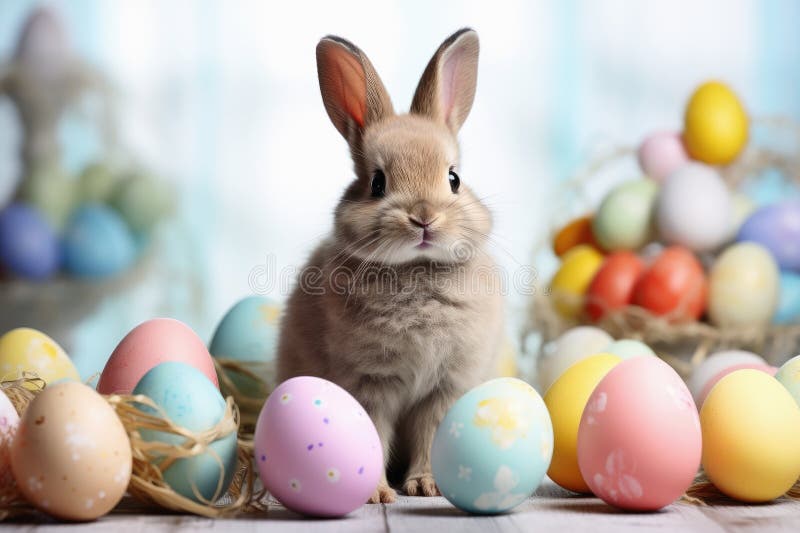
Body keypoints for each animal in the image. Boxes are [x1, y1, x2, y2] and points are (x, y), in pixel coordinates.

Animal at [277, 28, 504, 504]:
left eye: (453, 178)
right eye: (377, 183)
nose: (423, 217)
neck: (417, 270)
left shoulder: (445, 389)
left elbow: (430, 435)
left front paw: (426, 486)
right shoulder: (370, 384)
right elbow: (374, 433)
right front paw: (379, 494)